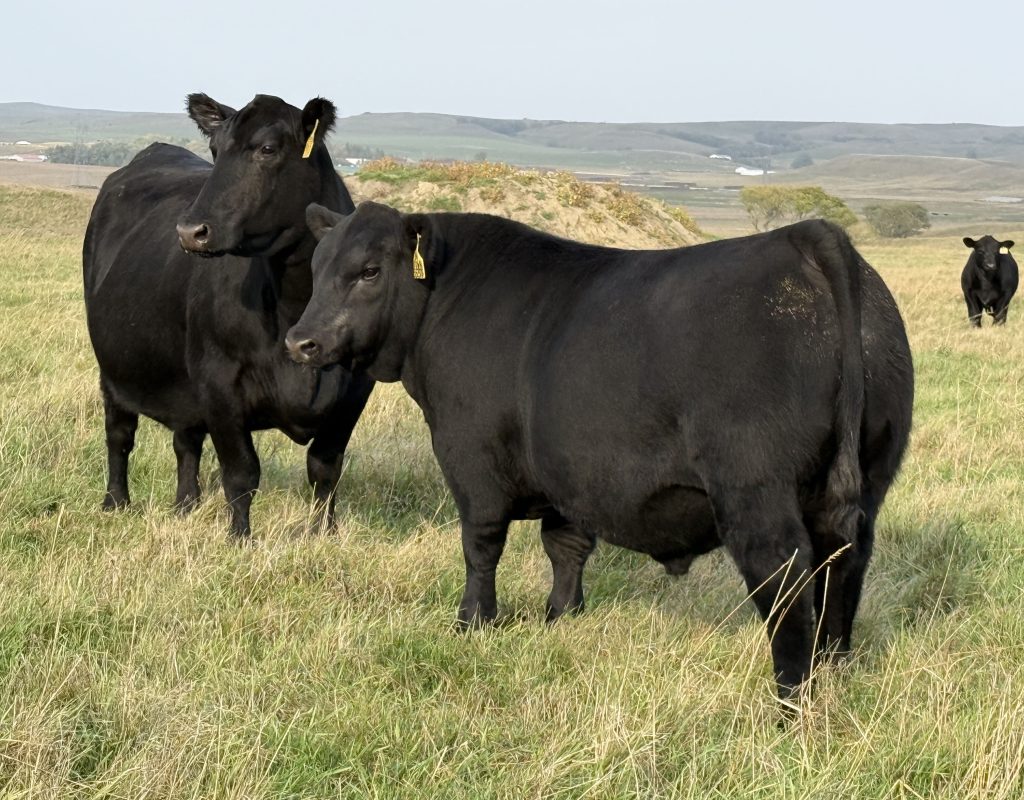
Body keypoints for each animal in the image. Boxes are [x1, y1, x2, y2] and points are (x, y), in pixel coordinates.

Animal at [82, 94, 375, 538]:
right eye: (215, 150)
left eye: (268, 148)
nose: (190, 231)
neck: (294, 301)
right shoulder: (219, 382)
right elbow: (241, 473)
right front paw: (240, 539)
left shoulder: (355, 388)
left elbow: (325, 468)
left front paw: (324, 534)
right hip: (114, 368)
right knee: (120, 435)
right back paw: (116, 502)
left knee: (185, 441)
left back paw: (185, 505)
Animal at [285, 202, 913, 699]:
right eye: (315, 268)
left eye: (369, 270)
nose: (300, 341)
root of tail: (805, 237)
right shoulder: (571, 471)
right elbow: (566, 546)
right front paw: (560, 616)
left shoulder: (471, 458)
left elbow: (480, 546)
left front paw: (473, 623)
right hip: (863, 484)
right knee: (844, 565)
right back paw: (833, 671)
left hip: (755, 491)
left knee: (784, 579)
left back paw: (790, 699)